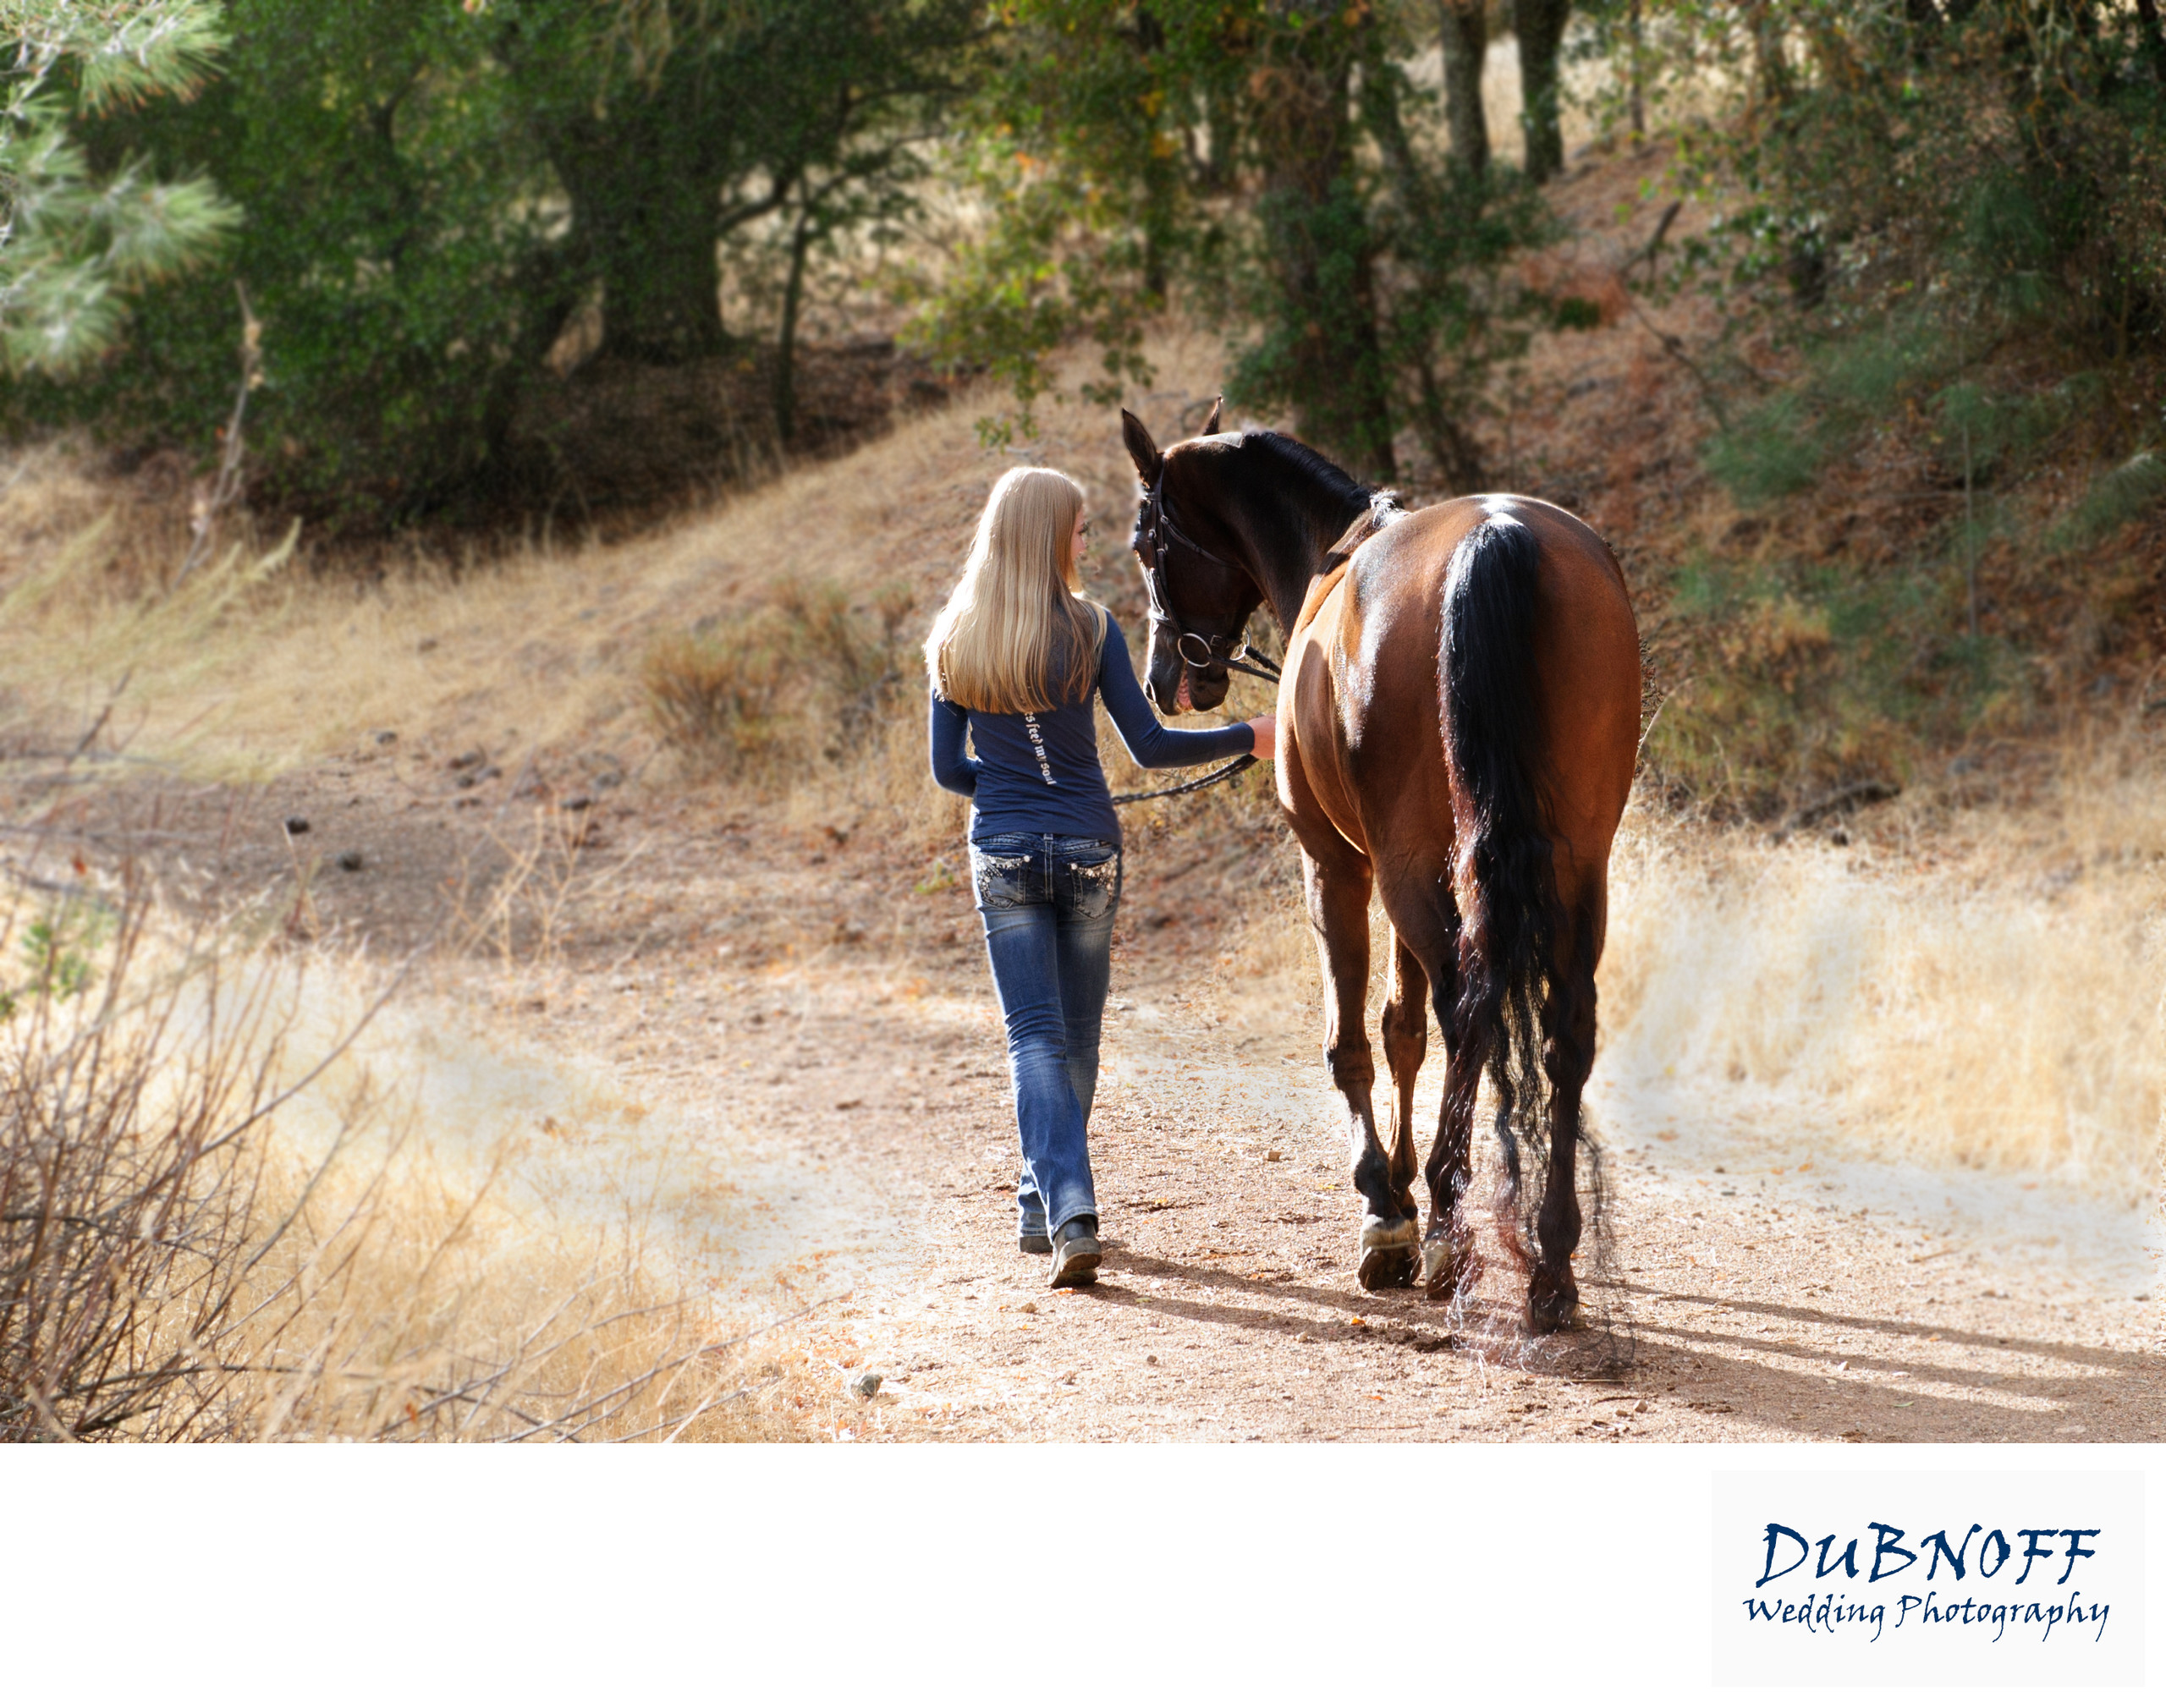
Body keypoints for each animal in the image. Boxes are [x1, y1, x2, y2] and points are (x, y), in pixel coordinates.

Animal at [1121, 403, 1641, 1332]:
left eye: (1148, 542)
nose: (1165, 677)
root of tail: (1498, 534)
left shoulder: (1336, 866)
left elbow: (1355, 1042)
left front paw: (1383, 1208)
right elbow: (1402, 1032)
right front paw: (1397, 1187)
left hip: (1405, 873)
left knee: (1466, 1017)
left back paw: (1444, 1228)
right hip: (1576, 865)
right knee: (1563, 1032)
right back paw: (1551, 1261)